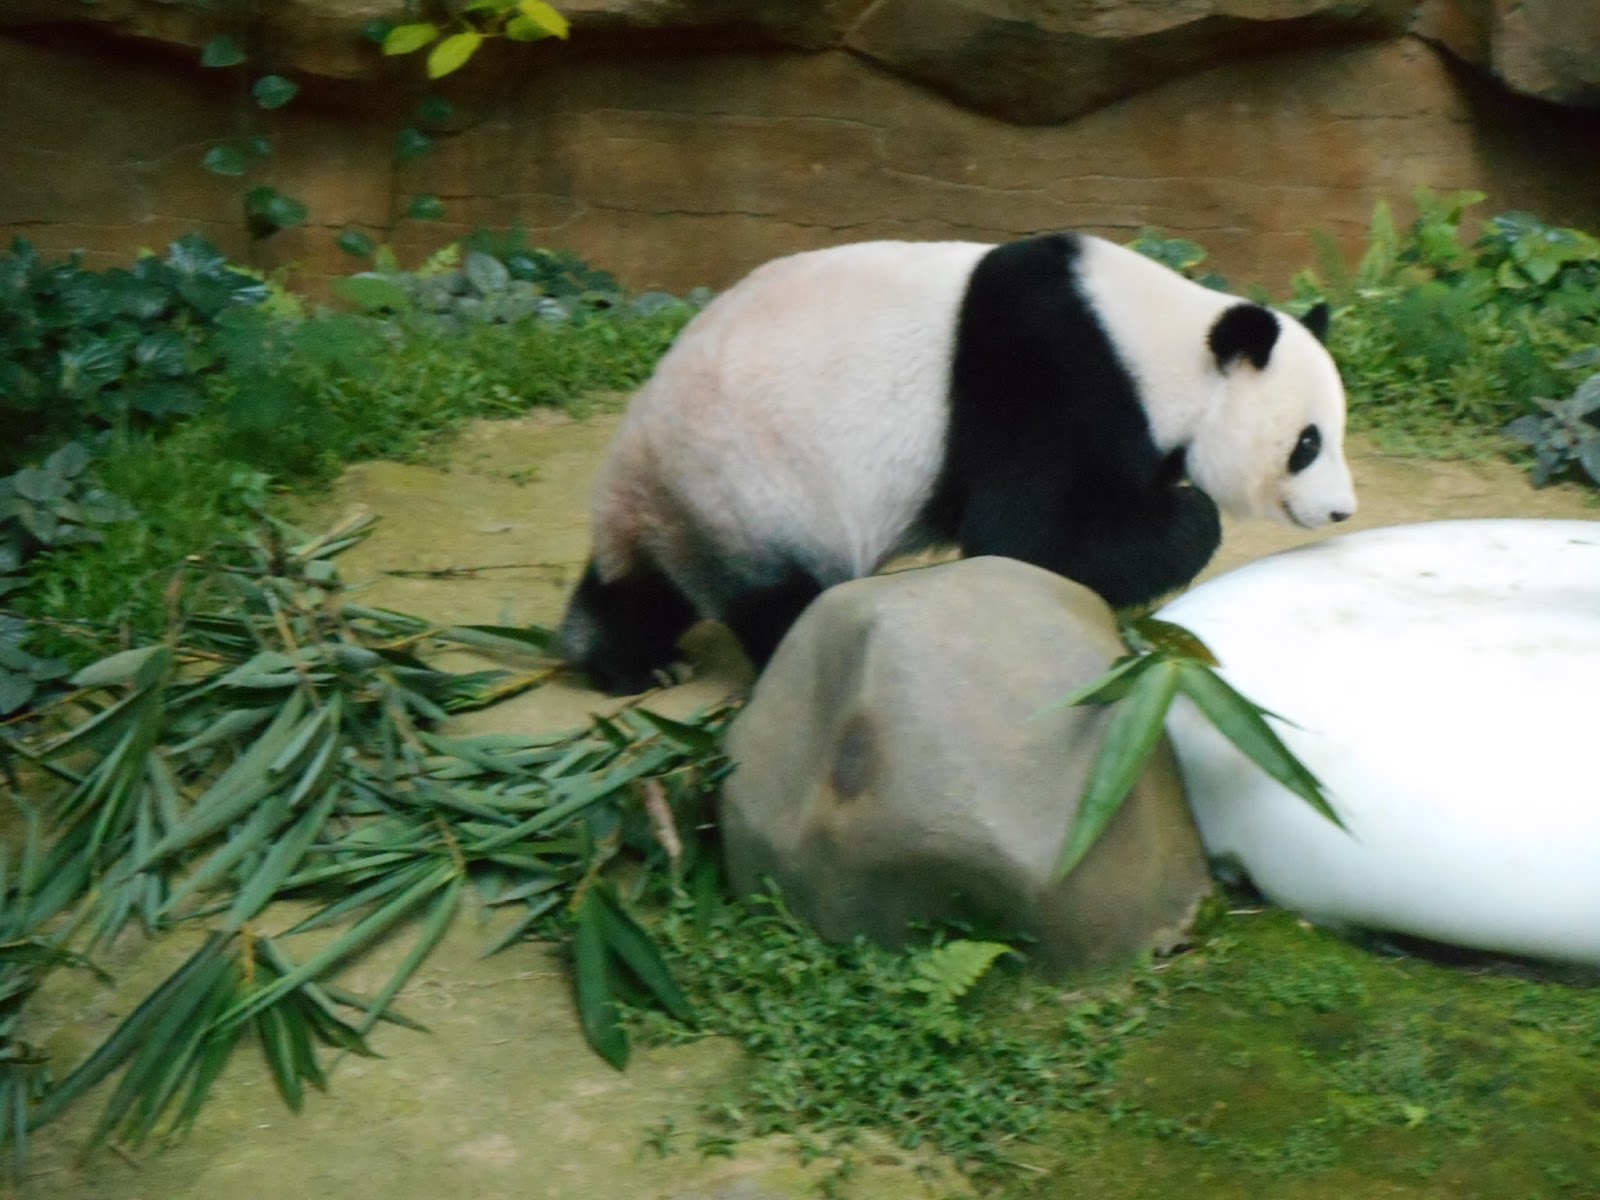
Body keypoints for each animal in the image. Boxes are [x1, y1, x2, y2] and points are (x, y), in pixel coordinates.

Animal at [559, 232, 1357, 695]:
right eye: (1307, 442)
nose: (1341, 509)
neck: (1161, 339)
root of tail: (635, 461)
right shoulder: (1049, 372)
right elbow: (1025, 537)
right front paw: (1189, 515)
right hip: (749, 484)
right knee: (776, 597)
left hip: (688, 503)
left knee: (641, 586)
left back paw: (624, 659)